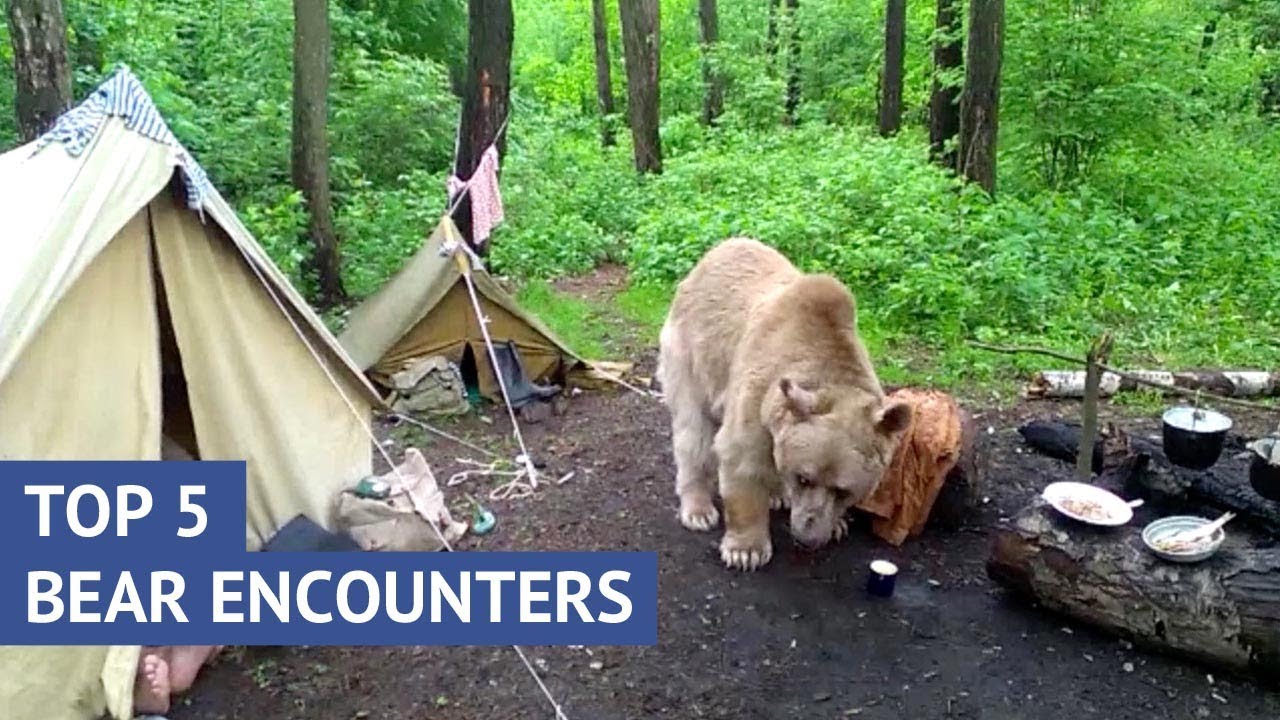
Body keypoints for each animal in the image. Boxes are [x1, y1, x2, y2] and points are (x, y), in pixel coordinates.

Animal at [656, 238, 913, 570]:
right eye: (804, 478)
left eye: (843, 490)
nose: (808, 537)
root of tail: (713, 253)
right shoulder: (758, 390)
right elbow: (740, 457)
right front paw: (746, 551)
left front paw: (836, 525)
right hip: (692, 353)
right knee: (694, 432)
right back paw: (698, 509)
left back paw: (778, 495)